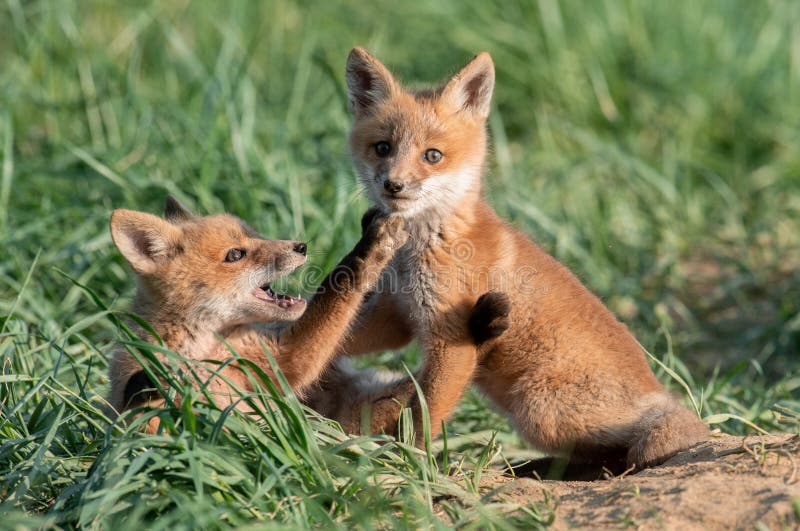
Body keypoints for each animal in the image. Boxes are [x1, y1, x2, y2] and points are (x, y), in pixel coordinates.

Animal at [107, 196, 408, 430]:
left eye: (256, 233)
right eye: (235, 255)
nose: (302, 246)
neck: (205, 351)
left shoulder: (270, 355)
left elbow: (341, 292)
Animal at [324, 48, 709, 469]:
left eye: (433, 156)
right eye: (382, 148)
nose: (393, 184)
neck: (425, 248)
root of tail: (658, 393)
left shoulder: (451, 339)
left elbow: (425, 418)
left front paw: (413, 465)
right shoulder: (397, 315)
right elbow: (343, 336)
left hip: (538, 408)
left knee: (613, 450)